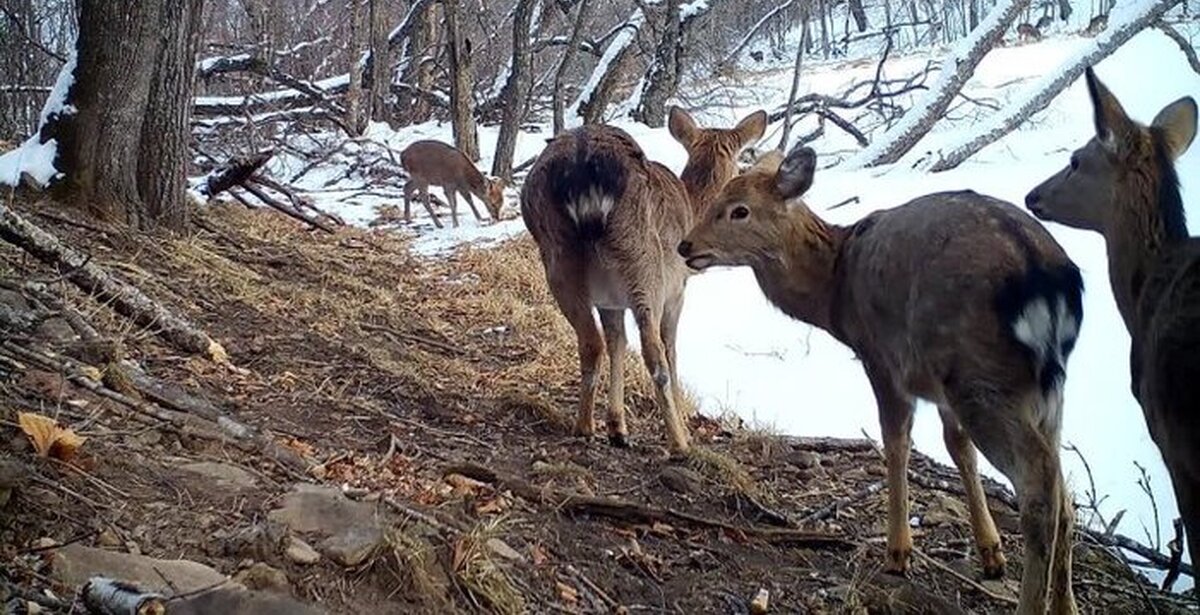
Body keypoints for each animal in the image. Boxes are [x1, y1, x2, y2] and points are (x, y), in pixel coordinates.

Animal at [520, 106, 765, 454]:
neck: (691, 204)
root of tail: (583, 170)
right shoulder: (676, 290)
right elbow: (670, 346)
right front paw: (683, 426)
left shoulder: (609, 300)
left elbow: (617, 341)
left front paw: (617, 427)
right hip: (644, 262)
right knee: (654, 353)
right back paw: (679, 444)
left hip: (557, 257)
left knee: (591, 341)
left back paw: (584, 426)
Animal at [678, 145, 1084, 614]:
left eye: (739, 210)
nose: (686, 245)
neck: (836, 293)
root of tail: (1048, 280)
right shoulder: (937, 386)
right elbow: (957, 447)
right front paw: (991, 552)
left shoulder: (883, 360)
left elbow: (896, 443)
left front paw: (898, 553)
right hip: (1042, 387)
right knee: (1063, 490)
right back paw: (1066, 604)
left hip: (982, 375)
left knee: (1039, 485)